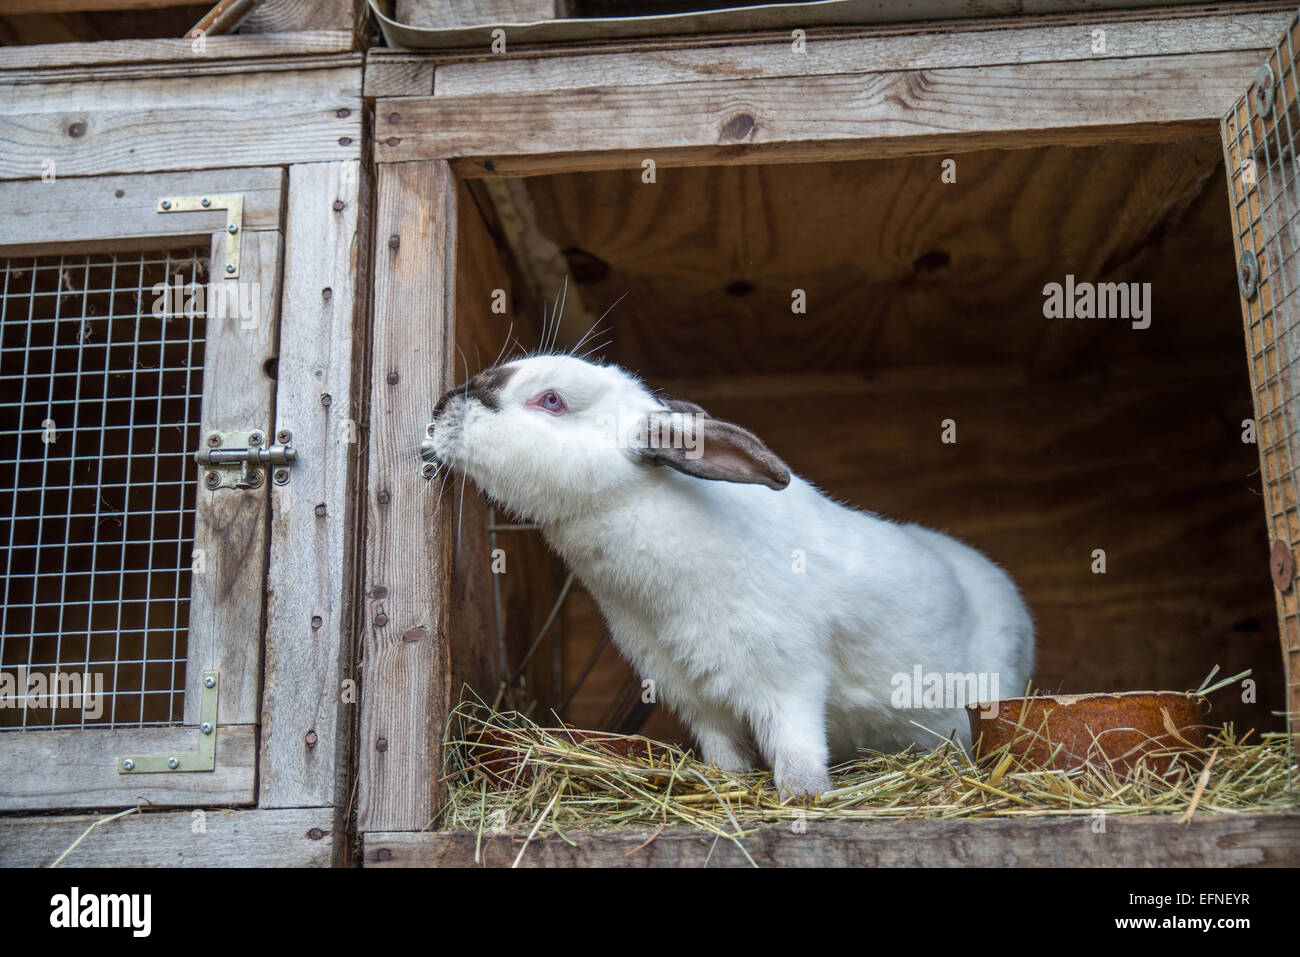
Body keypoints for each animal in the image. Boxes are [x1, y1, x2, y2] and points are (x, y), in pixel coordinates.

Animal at [427, 353, 1035, 799]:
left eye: (550, 400)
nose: (439, 406)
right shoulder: (691, 692)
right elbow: (724, 755)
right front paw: (729, 785)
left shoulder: (786, 678)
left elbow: (798, 750)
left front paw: (803, 798)